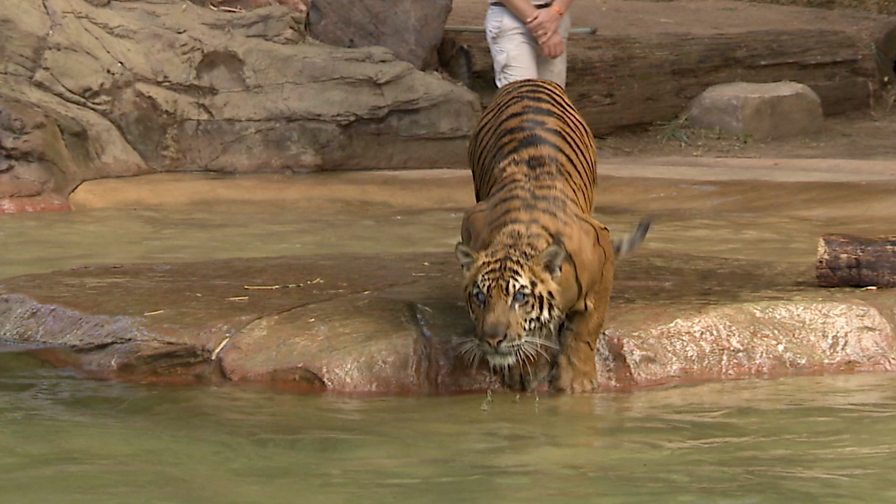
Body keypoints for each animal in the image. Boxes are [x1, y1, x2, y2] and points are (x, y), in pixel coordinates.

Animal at [454, 78, 649, 393]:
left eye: (520, 297)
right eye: (480, 297)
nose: (493, 340)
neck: (519, 236)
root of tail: (527, 80)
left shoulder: (603, 256)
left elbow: (586, 327)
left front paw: (577, 381)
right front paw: (524, 369)